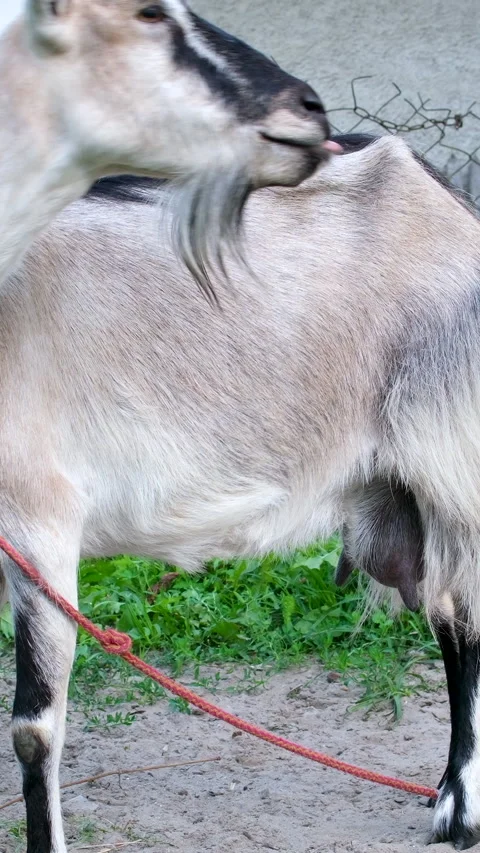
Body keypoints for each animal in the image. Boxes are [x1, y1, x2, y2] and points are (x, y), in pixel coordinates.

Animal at [2, 131, 480, 851]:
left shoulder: (41, 517)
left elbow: (33, 728)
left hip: (452, 457)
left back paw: (463, 809)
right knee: (451, 612)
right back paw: (449, 795)